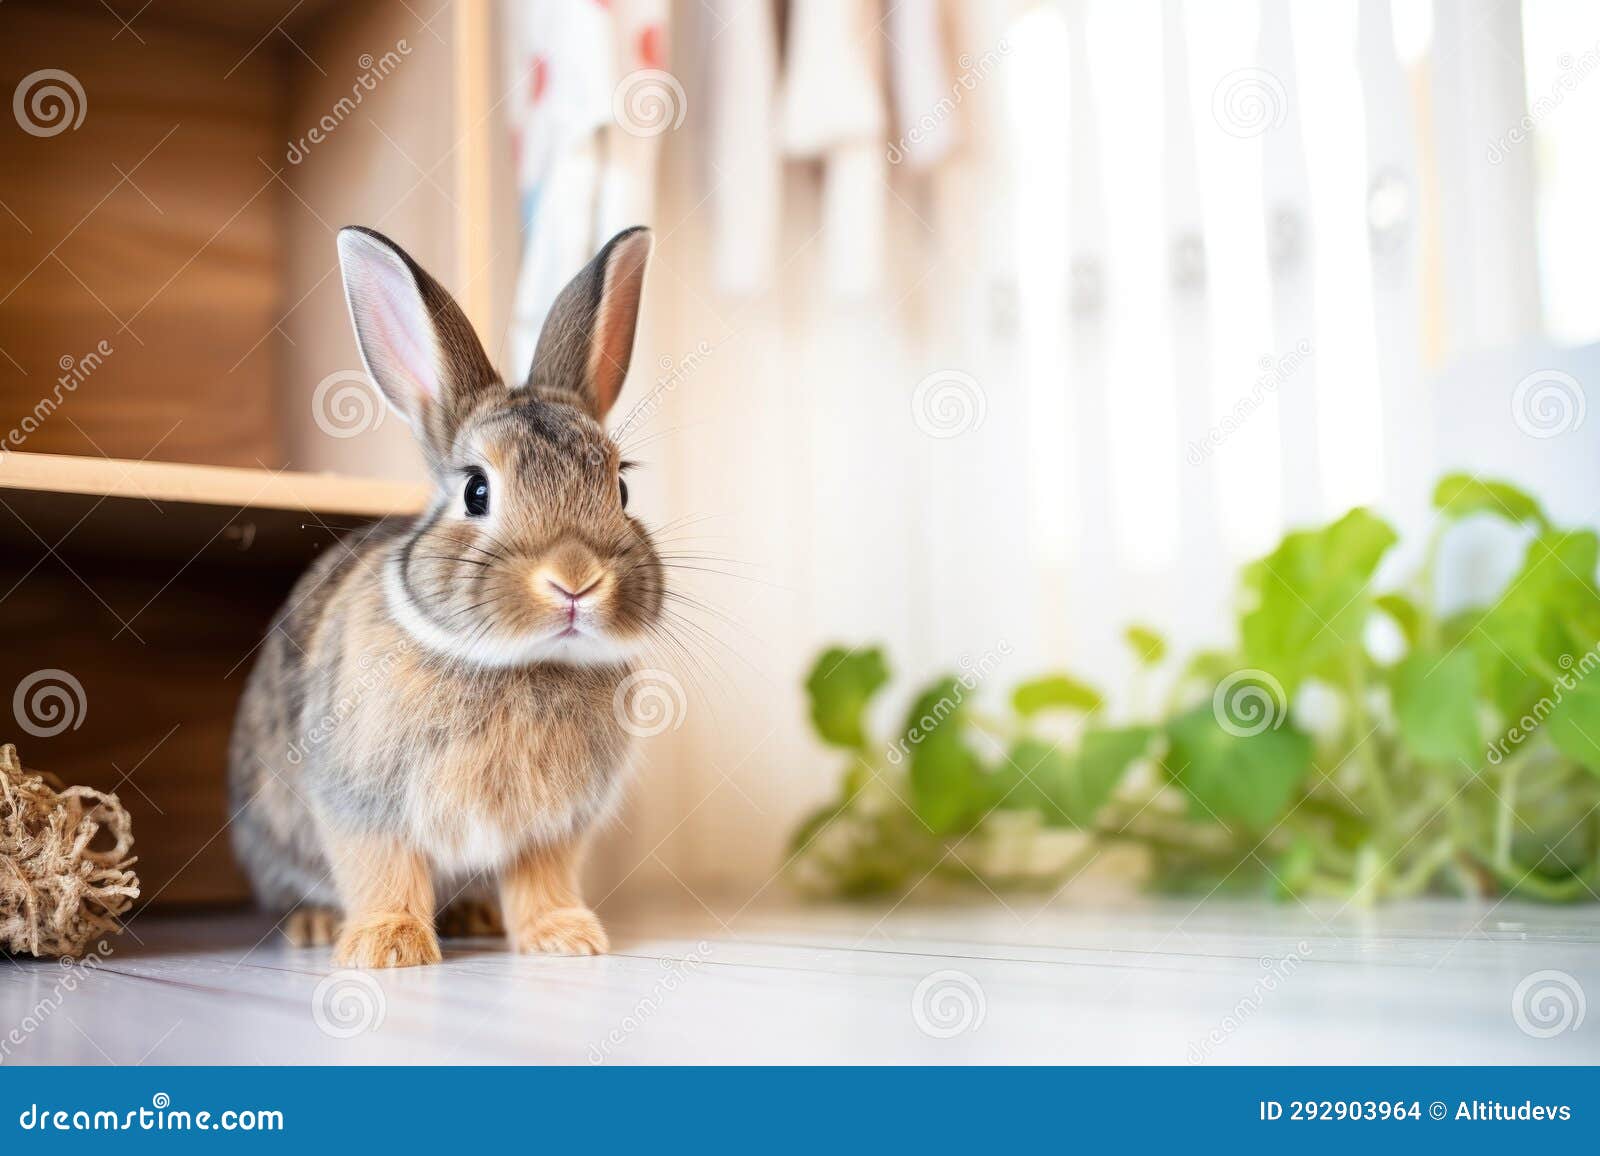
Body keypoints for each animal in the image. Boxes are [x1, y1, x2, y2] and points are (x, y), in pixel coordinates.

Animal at [227, 224, 663, 968]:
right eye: (476, 491)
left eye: (622, 488)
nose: (575, 579)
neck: (517, 662)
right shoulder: (363, 801)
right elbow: (382, 869)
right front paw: (388, 949)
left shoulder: (550, 826)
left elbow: (540, 878)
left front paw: (565, 938)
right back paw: (317, 926)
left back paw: (475, 917)